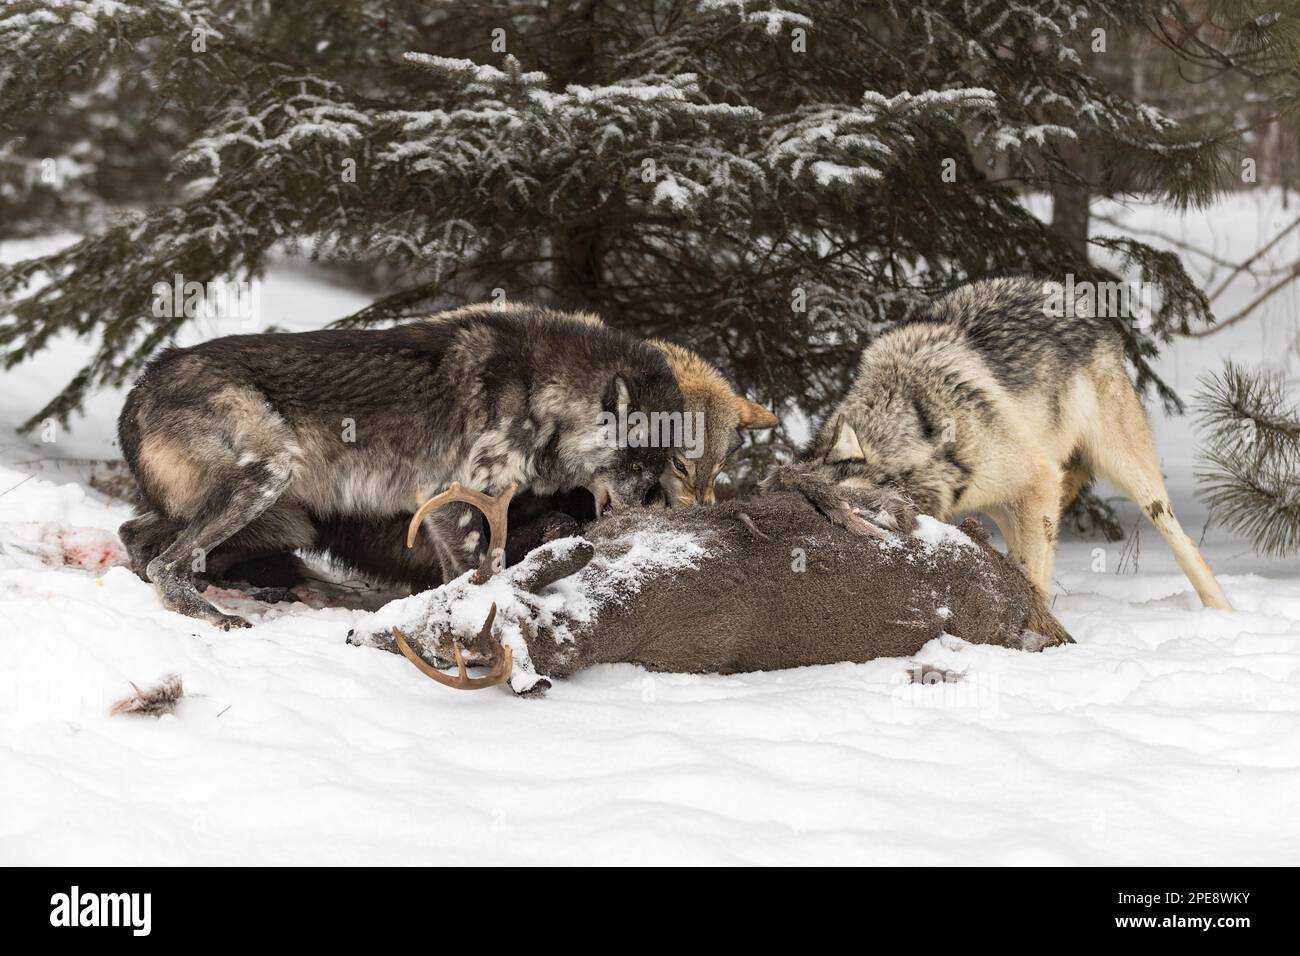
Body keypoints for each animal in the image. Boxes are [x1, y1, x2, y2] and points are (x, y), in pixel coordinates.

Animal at [117, 304, 683, 627]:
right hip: (268, 479)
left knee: (137, 535)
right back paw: (207, 611)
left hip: (282, 514)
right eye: (639, 460)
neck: (538, 389)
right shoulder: (453, 499)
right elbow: (476, 570)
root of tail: (144, 380)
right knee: (165, 561)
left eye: (661, 466)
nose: (644, 509)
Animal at [803, 276, 1232, 610]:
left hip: (1128, 474)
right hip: (1008, 506)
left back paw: (1222, 611)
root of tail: (1075, 297)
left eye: (855, 506)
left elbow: (1036, 580)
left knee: (1184, 542)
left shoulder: (1041, 481)